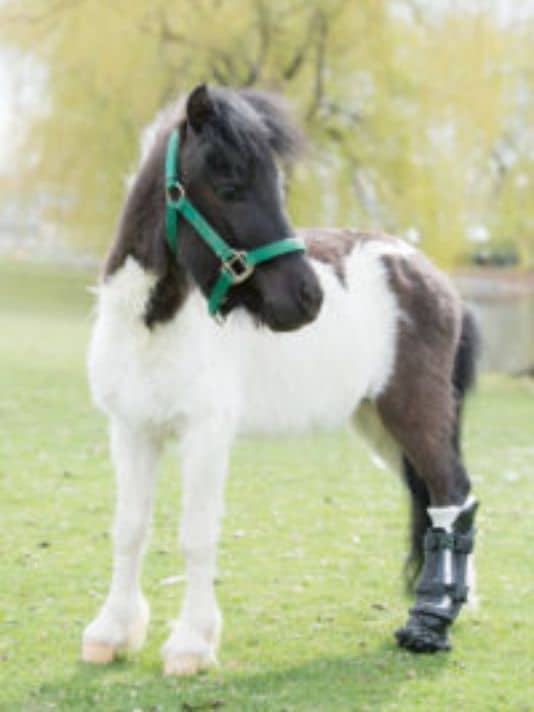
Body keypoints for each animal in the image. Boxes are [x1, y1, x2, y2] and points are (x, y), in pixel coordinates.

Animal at [82, 84, 480, 676]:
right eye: (230, 186)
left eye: (278, 186)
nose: (307, 298)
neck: (155, 322)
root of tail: (429, 274)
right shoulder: (131, 429)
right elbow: (130, 528)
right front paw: (112, 633)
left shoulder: (205, 435)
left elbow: (196, 535)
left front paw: (191, 645)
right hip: (379, 425)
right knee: (445, 496)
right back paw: (457, 604)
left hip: (416, 413)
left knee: (450, 492)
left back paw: (432, 620)